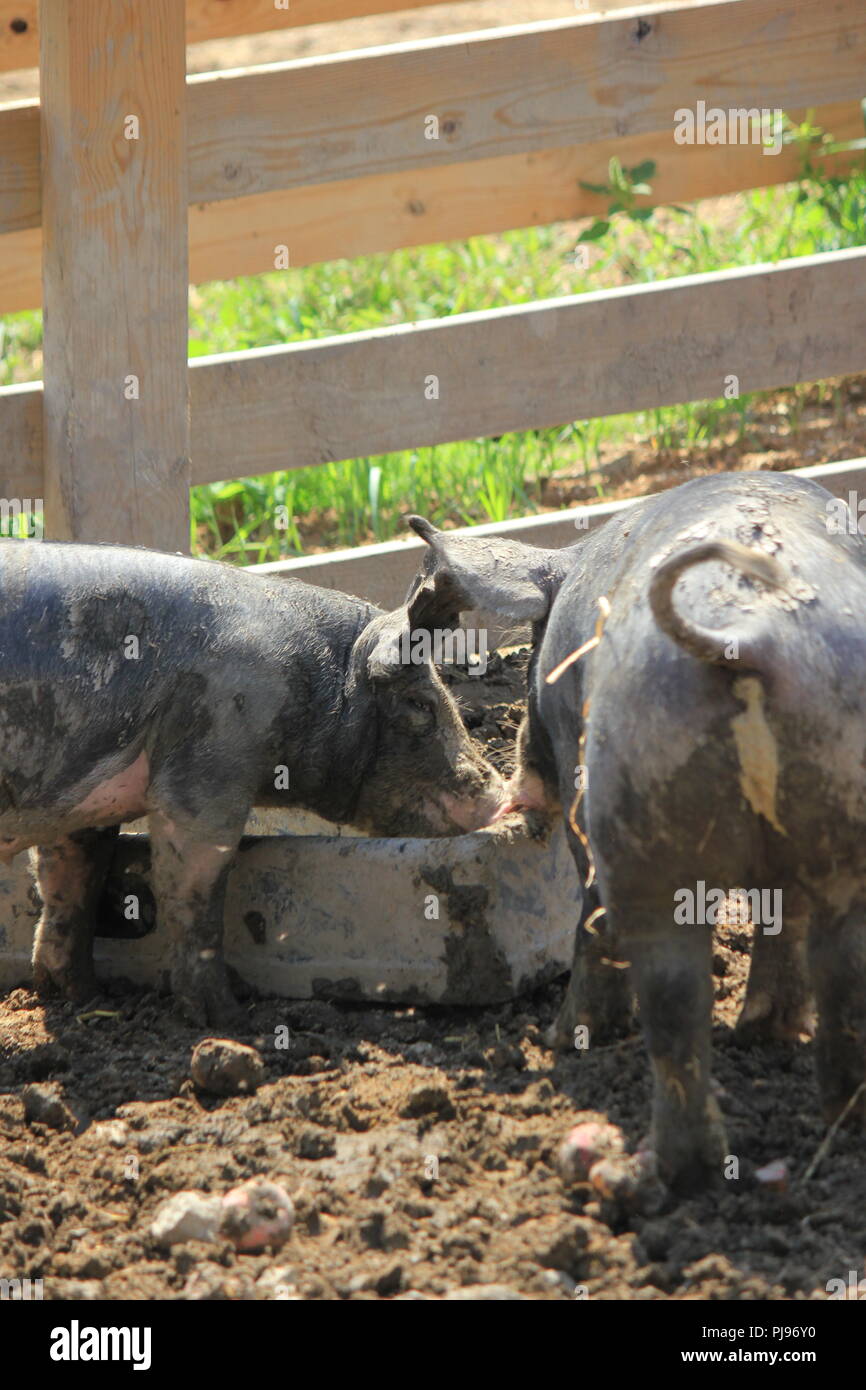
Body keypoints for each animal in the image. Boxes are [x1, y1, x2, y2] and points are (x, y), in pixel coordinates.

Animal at [0, 540, 504, 1024]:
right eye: (420, 705)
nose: (501, 797)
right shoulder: (213, 759)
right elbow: (192, 888)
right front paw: (228, 1020)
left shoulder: (80, 791)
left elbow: (71, 877)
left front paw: (81, 996)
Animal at [407, 470, 866, 1190]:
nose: (510, 789)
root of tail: (751, 634)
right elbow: (780, 922)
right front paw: (765, 1032)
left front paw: (562, 1043)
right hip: (840, 800)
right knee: (839, 971)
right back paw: (825, 1104)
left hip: (631, 799)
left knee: (667, 990)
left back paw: (646, 1163)